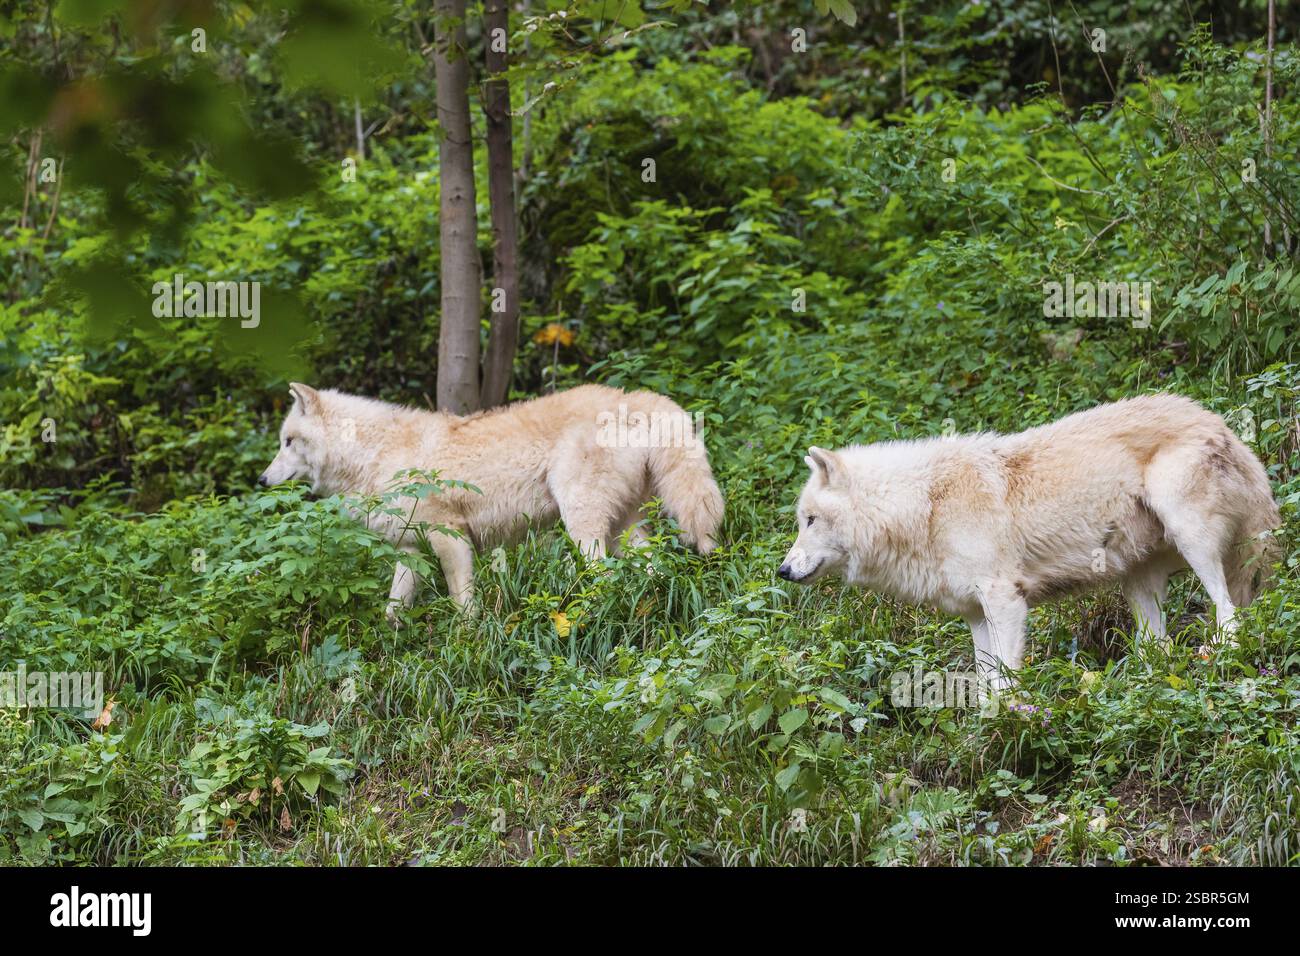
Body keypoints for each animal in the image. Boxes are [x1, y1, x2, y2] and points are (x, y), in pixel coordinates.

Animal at [259, 383, 723, 621]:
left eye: (288, 441)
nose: (261, 480)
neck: (376, 455)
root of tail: (637, 396)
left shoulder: (451, 538)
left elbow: (462, 601)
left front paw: (468, 638)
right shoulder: (410, 551)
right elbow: (393, 610)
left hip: (583, 524)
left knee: (603, 574)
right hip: (625, 528)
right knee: (650, 568)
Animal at [778, 394, 1279, 689]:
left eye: (810, 520)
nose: (782, 570)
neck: (924, 506)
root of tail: (1219, 422)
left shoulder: (1006, 600)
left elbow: (1006, 681)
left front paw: (1012, 721)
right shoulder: (975, 614)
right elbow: (985, 682)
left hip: (1191, 537)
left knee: (1228, 610)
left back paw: (1222, 656)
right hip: (1136, 581)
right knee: (1160, 646)